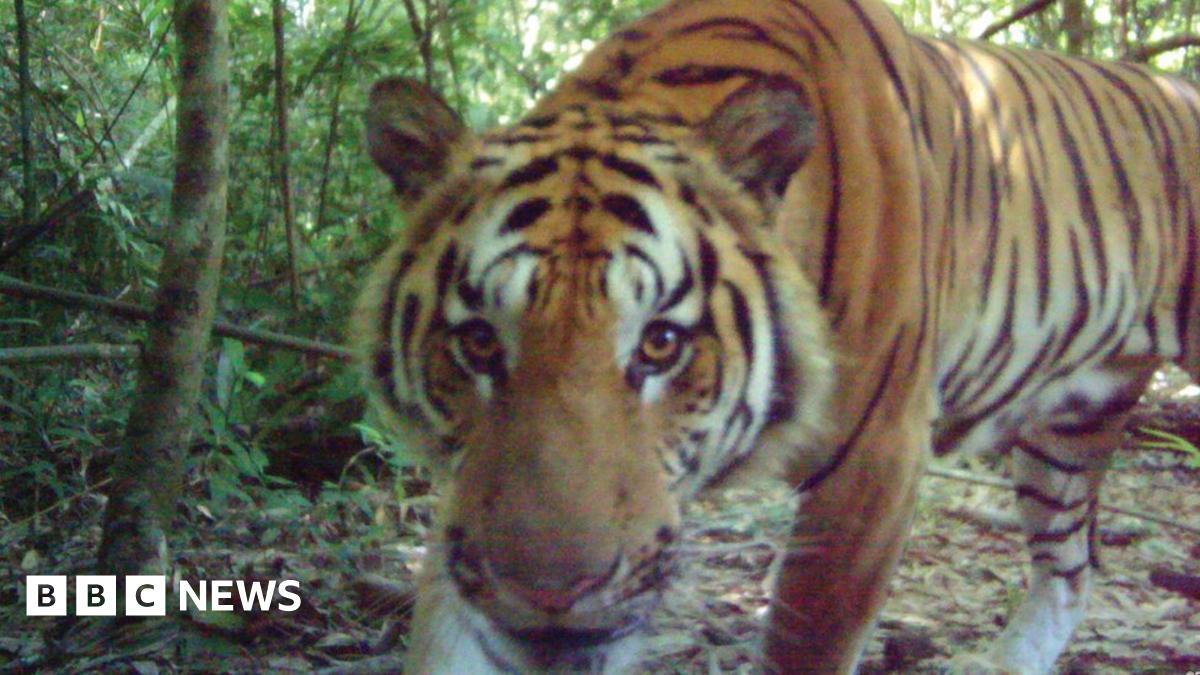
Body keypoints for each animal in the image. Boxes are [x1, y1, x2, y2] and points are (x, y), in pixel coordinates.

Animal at [352, 0, 1200, 672]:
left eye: (661, 344)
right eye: (478, 342)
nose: (546, 591)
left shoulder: (875, 463)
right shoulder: (471, 504)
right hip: (1067, 432)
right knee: (1072, 566)